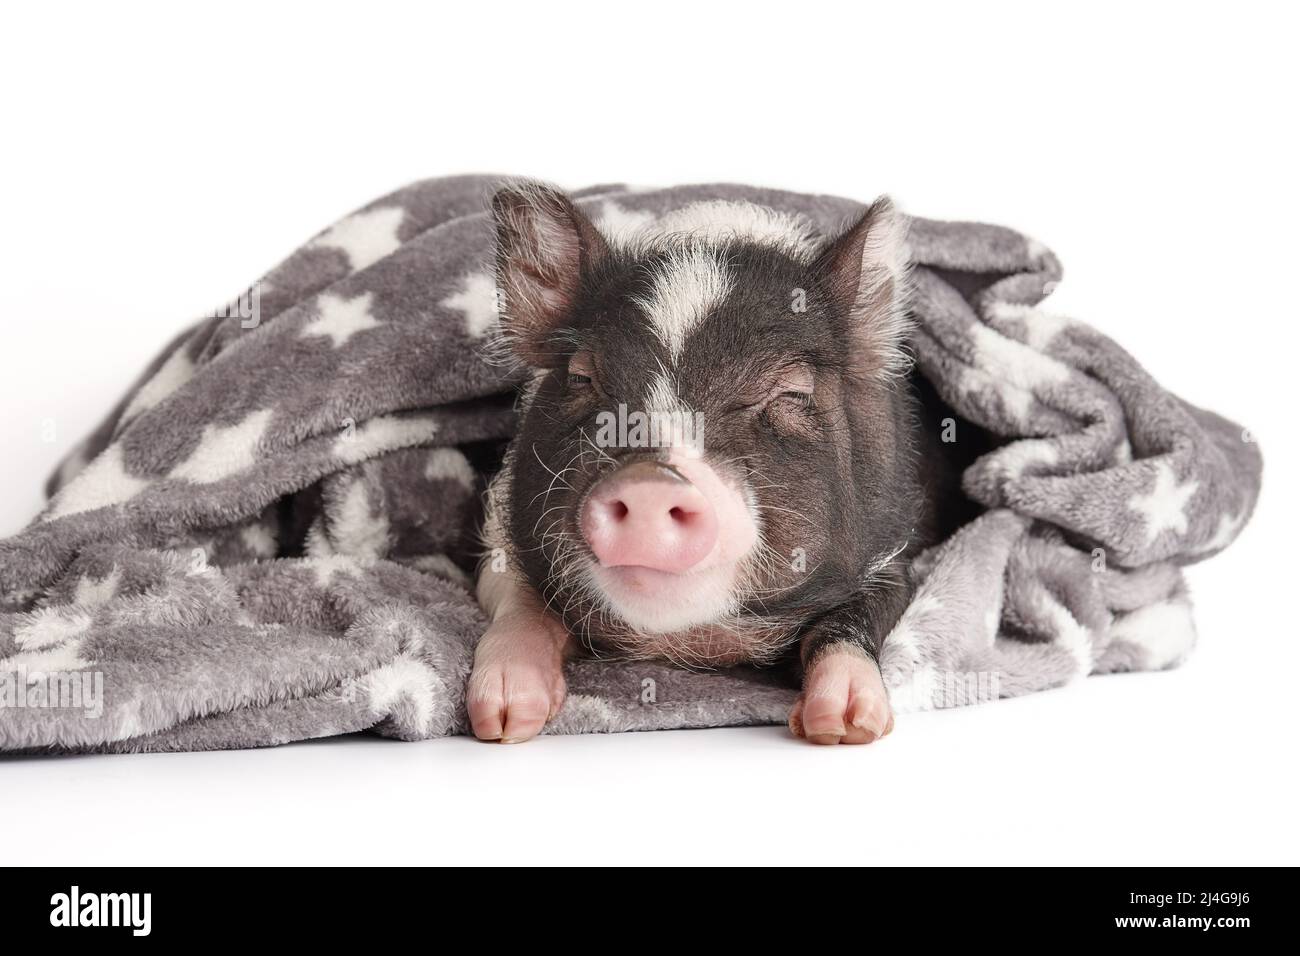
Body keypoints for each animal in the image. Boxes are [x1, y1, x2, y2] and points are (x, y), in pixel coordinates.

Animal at [471, 182, 965, 745]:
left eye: (791, 392)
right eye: (582, 378)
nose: (650, 480)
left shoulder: (890, 553)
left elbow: (852, 622)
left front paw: (846, 725)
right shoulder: (500, 532)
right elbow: (518, 596)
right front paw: (502, 720)